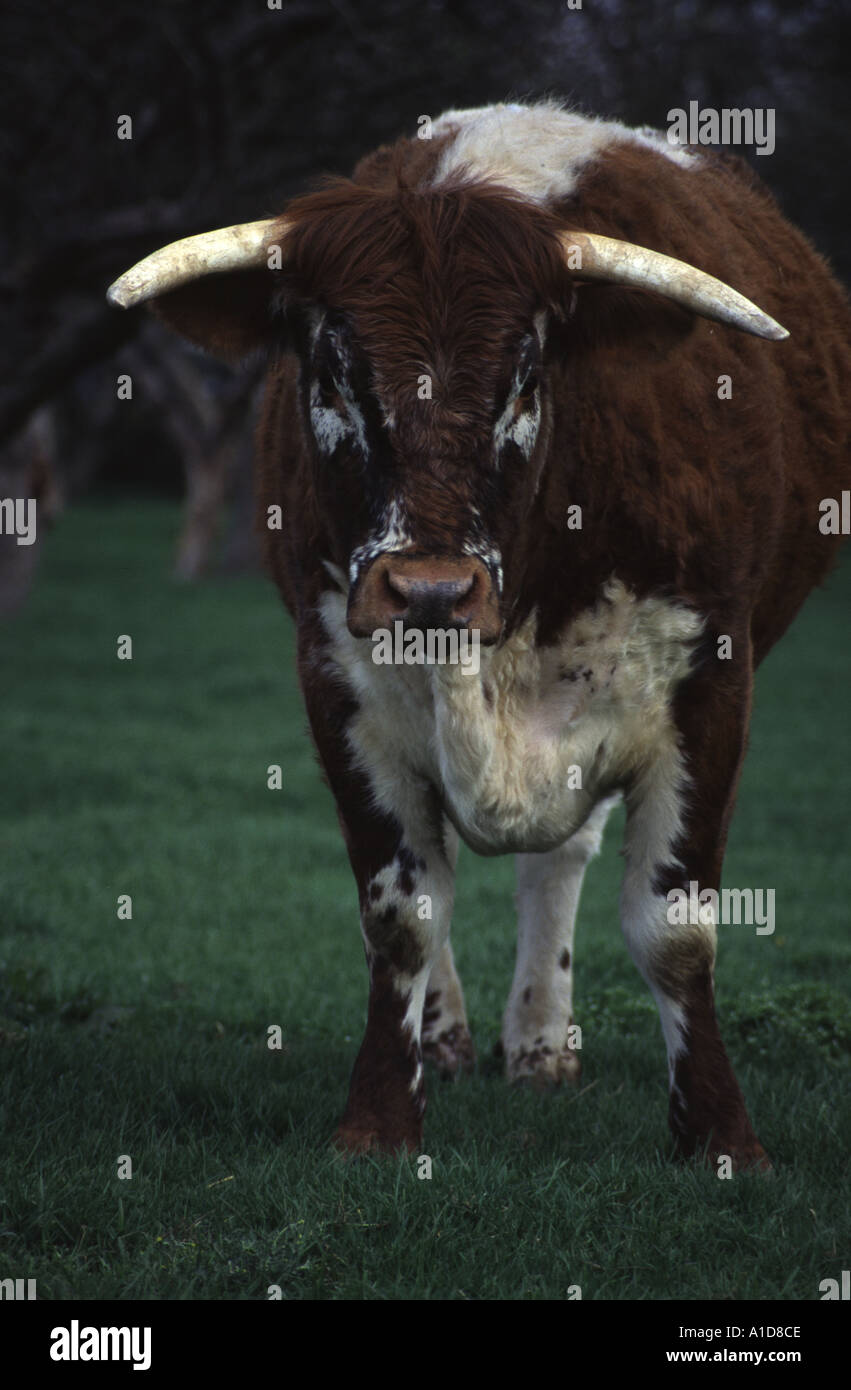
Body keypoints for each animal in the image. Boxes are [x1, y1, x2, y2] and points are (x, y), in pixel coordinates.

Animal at [108, 101, 851, 1170]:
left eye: (527, 374)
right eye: (330, 369)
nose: (430, 590)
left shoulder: (712, 685)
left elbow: (674, 928)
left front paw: (719, 1136)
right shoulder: (337, 687)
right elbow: (402, 917)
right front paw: (380, 1120)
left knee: (561, 859)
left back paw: (539, 1043)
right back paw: (453, 1038)